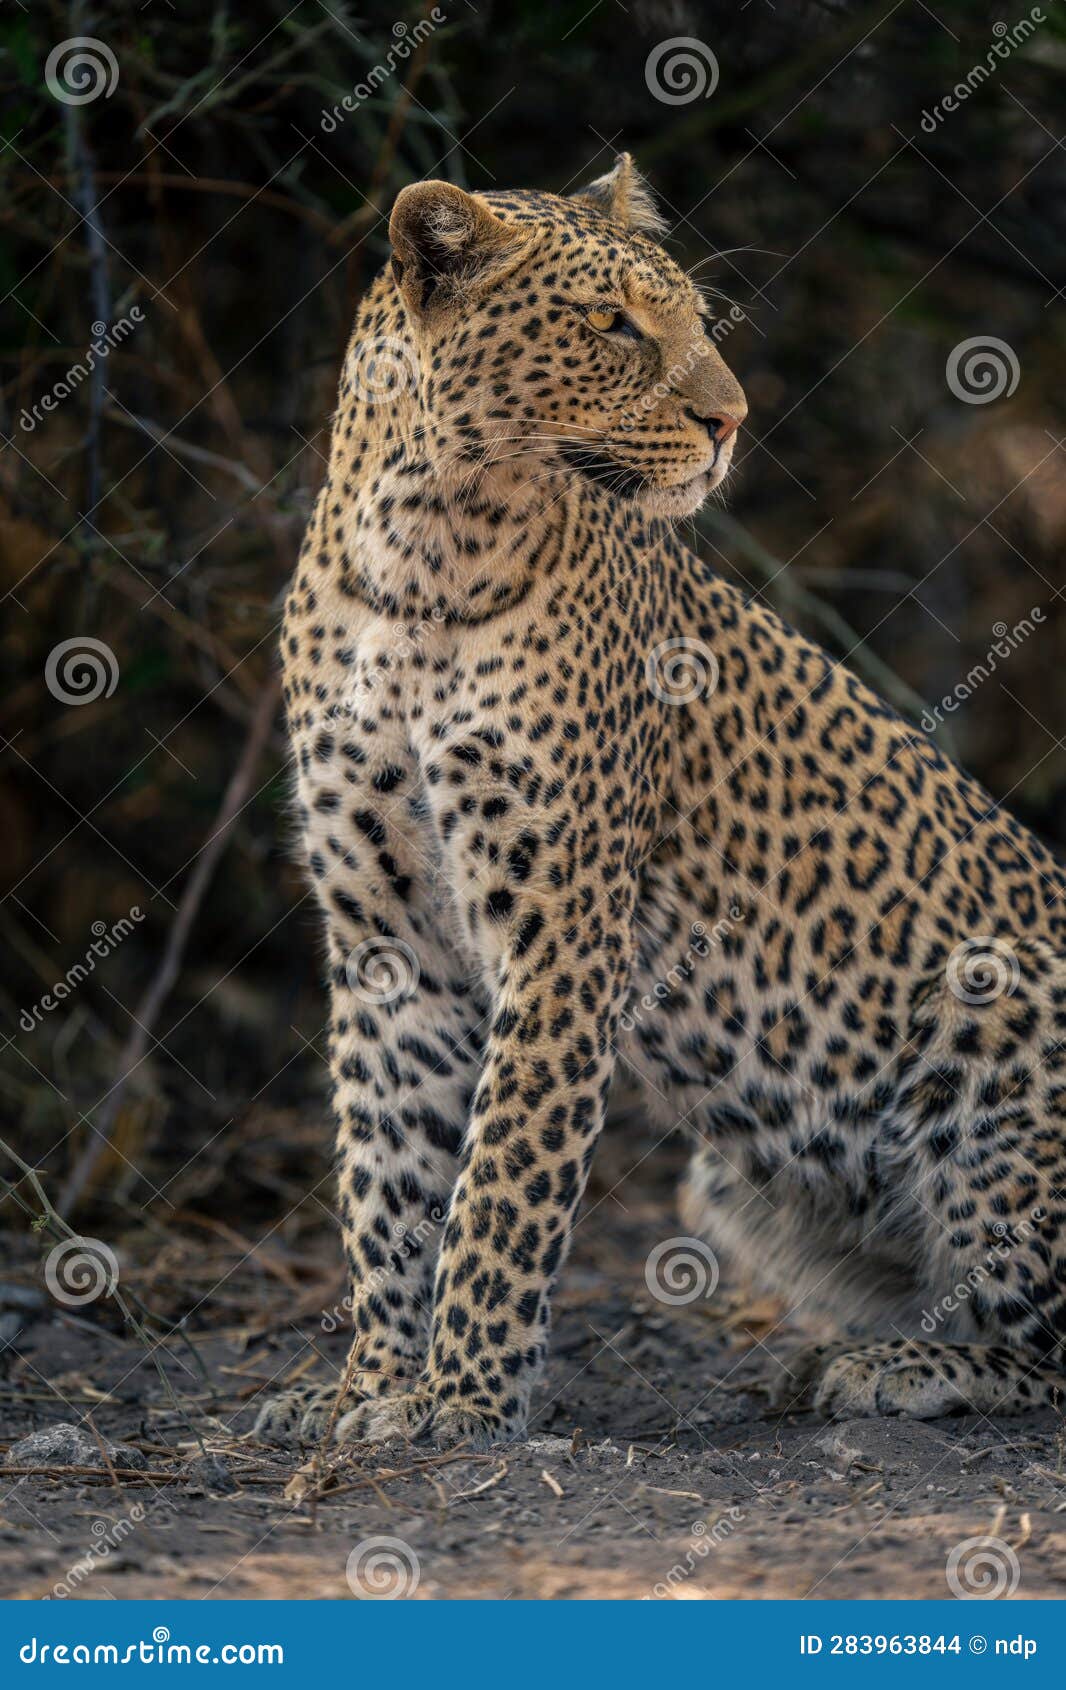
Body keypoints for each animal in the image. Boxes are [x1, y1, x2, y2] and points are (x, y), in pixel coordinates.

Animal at [255, 153, 1066, 1452]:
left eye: (692, 318)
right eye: (610, 325)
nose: (729, 421)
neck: (425, 552)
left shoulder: (562, 928)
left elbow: (503, 1181)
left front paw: (462, 1397)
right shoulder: (385, 937)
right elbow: (386, 1175)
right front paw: (367, 1386)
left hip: (996, 1005)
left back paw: (885, 1368)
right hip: (731, 1178)